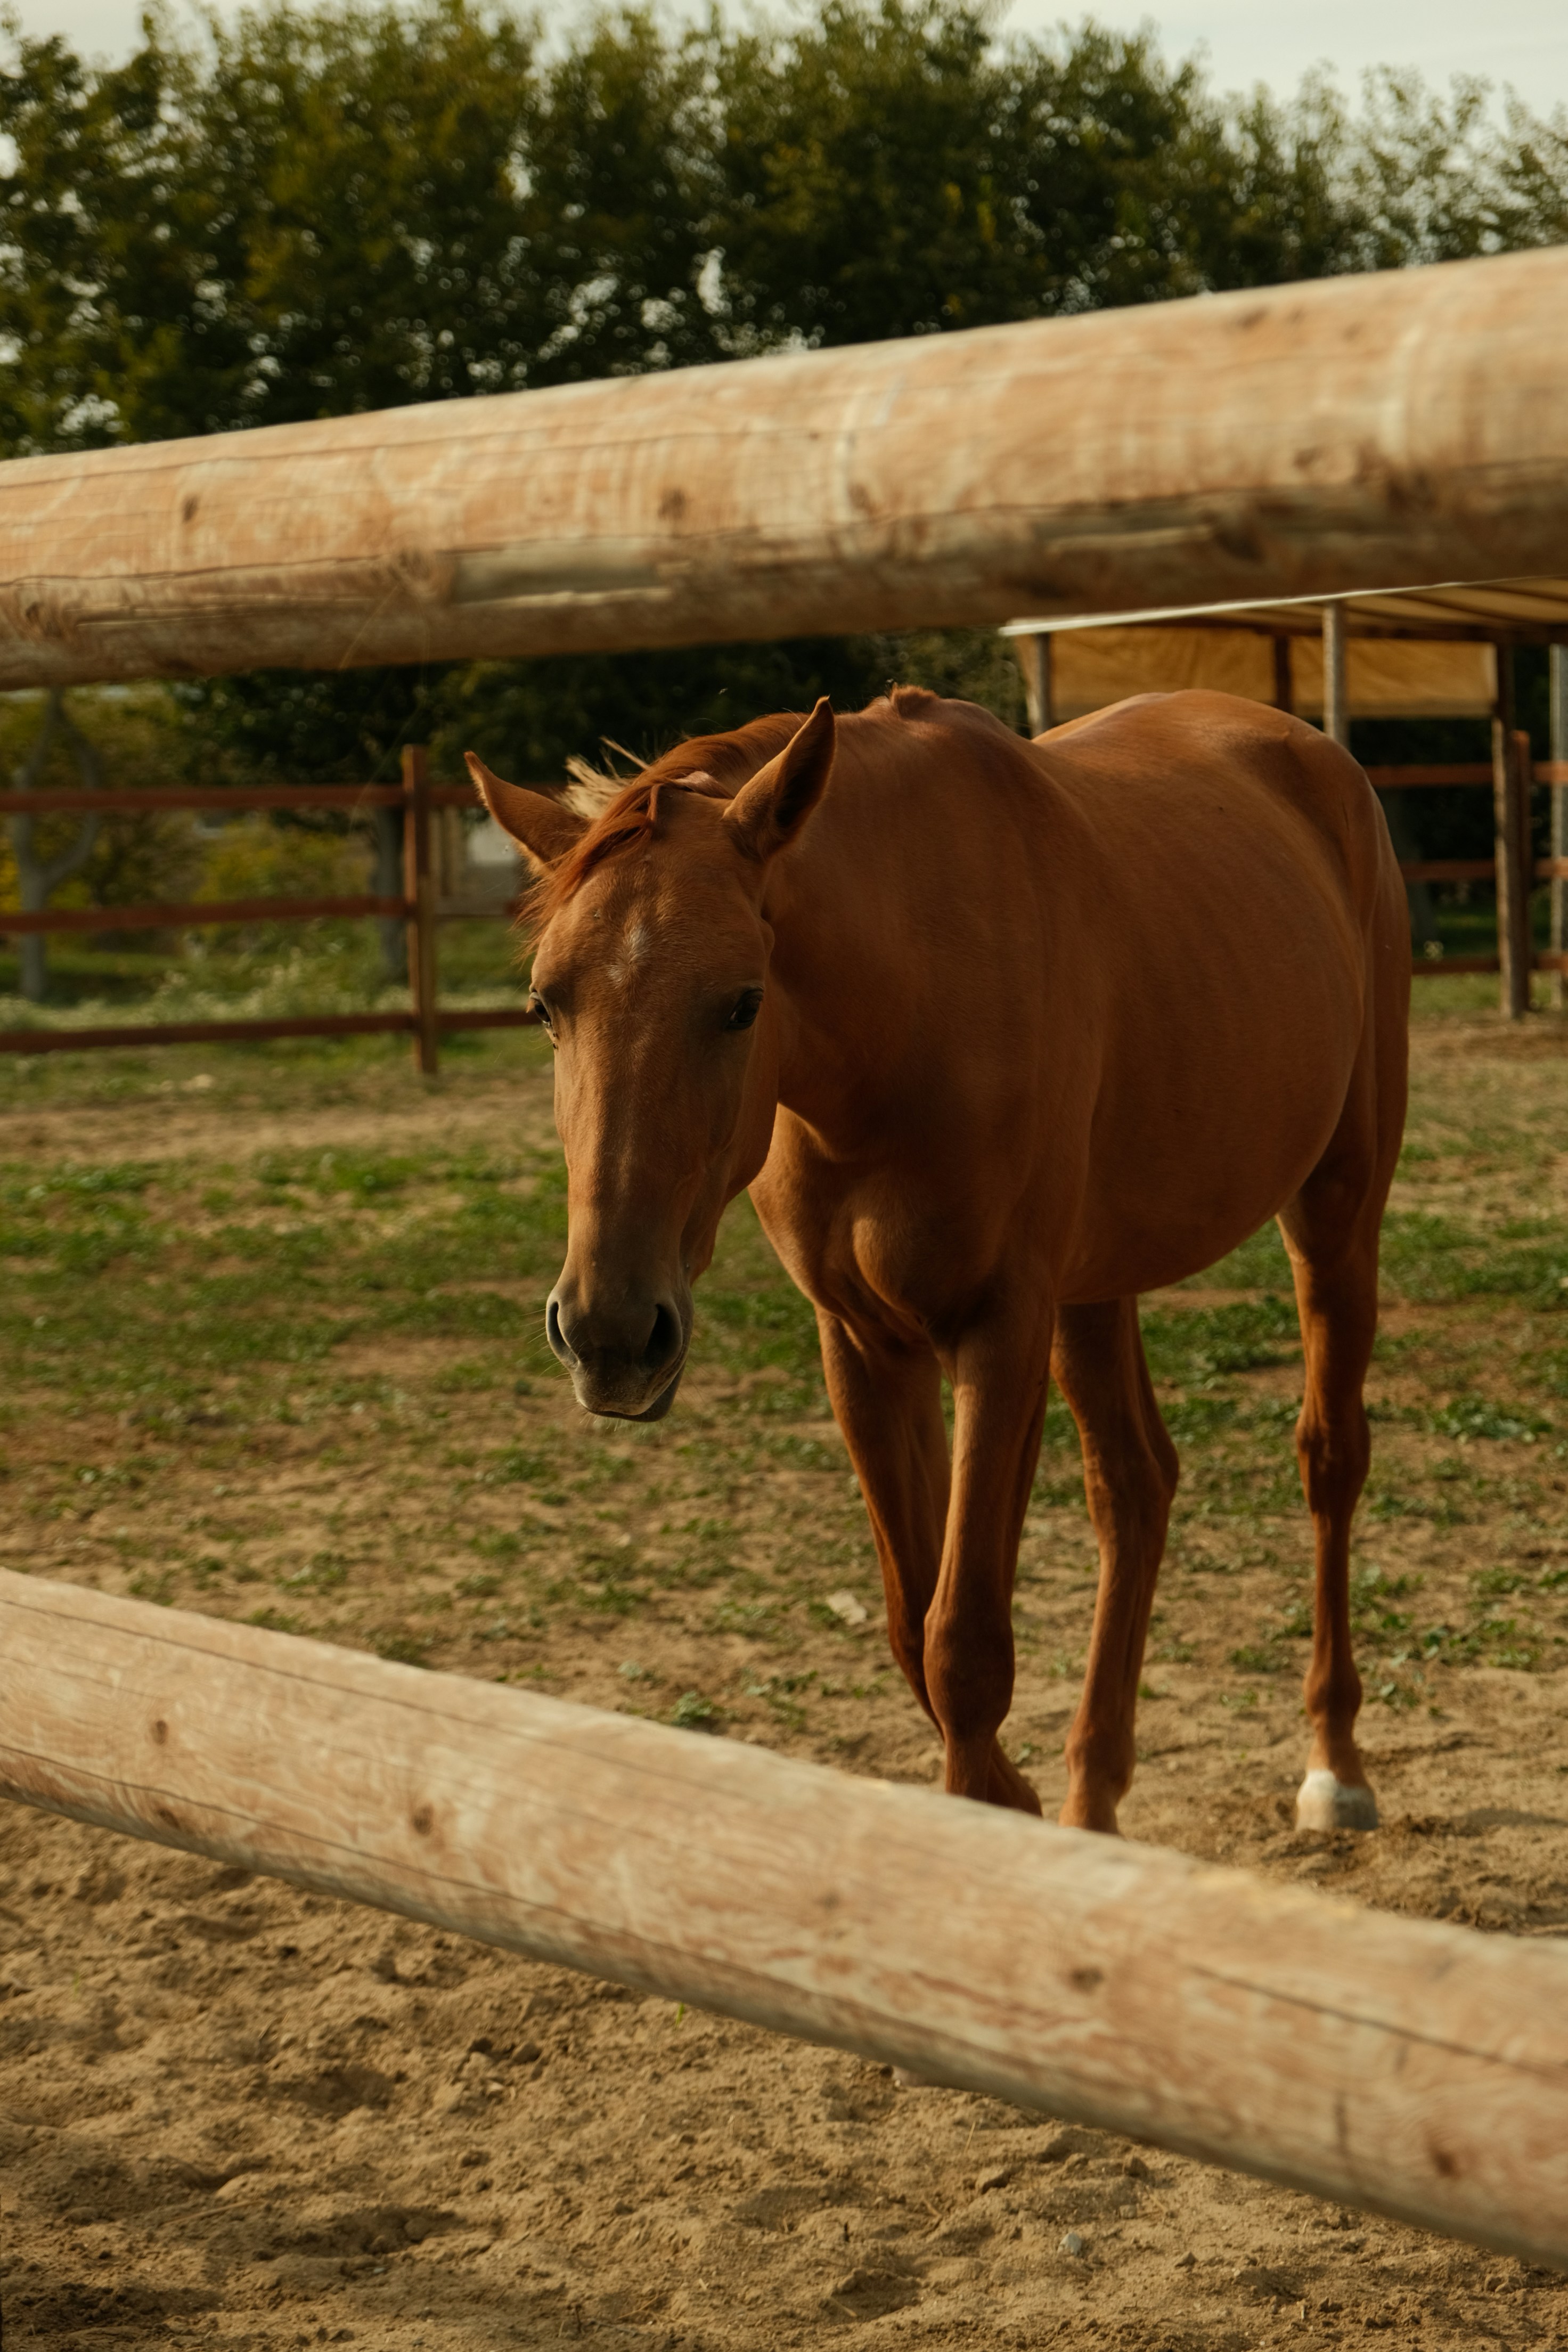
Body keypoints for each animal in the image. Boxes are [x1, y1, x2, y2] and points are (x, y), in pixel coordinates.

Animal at [466, 685, 1409, 1837]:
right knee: (1133, 1487)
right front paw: (1009, 1803)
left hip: (1334, 1210)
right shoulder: (864, 1344)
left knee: (1328, 1459)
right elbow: (910, 1629)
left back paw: (1333, 1765)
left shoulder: (997, 1332)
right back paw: (1091, 1796)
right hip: (1094, 1288)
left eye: (740, 1000)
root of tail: (1303, 748)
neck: (903, 1021)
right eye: (543, 1004)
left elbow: (963, 1648)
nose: (609, 1333)